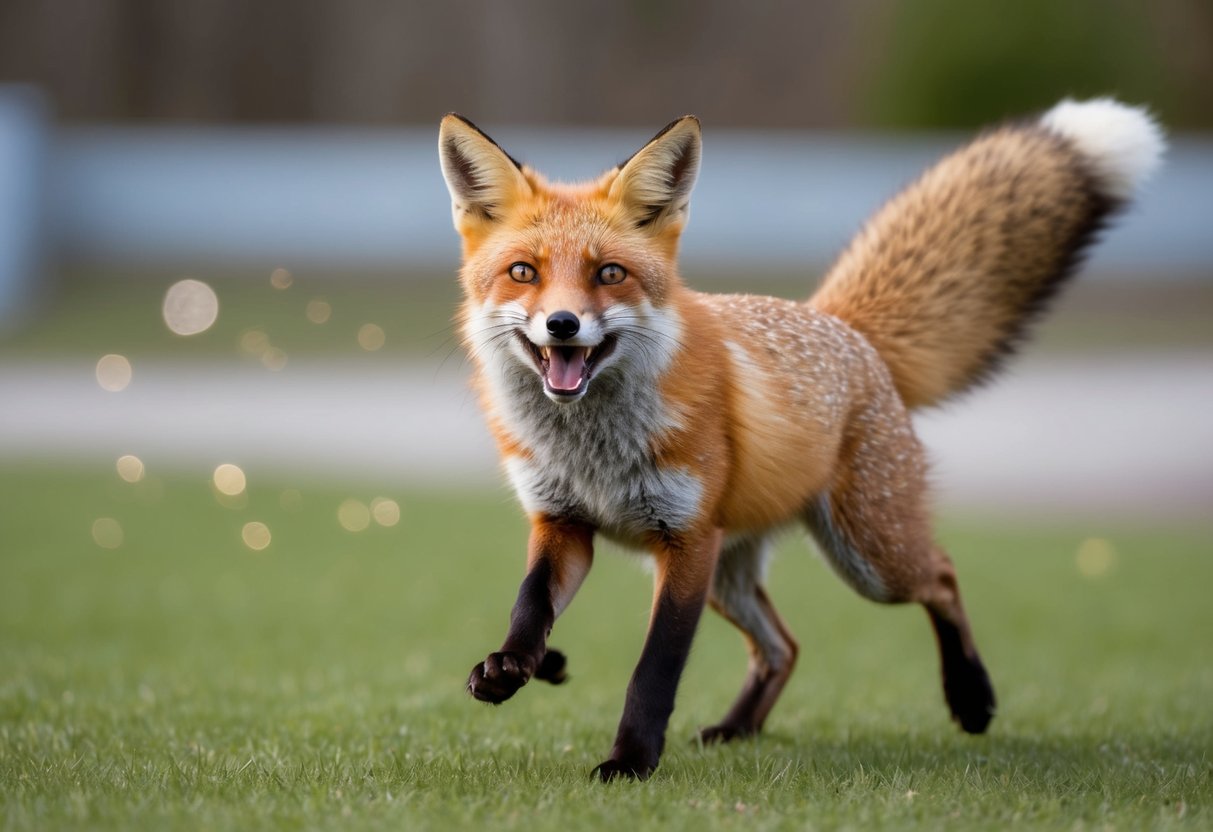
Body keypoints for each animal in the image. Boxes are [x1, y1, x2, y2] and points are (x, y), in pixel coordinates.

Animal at [437, 98, 1164, 781]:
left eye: (609, 274)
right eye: (524, 272)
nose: (562, 325)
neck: (592, 451)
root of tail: (843, 326)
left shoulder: (685, 542)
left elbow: (655, 670)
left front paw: (631, 762)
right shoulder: (564, 523)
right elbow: (530, 605)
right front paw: (517, 665)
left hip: (866, 557)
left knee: (942, 577)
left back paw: (970, 696)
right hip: (732, 574)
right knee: (784, 648)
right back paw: (736, 729)